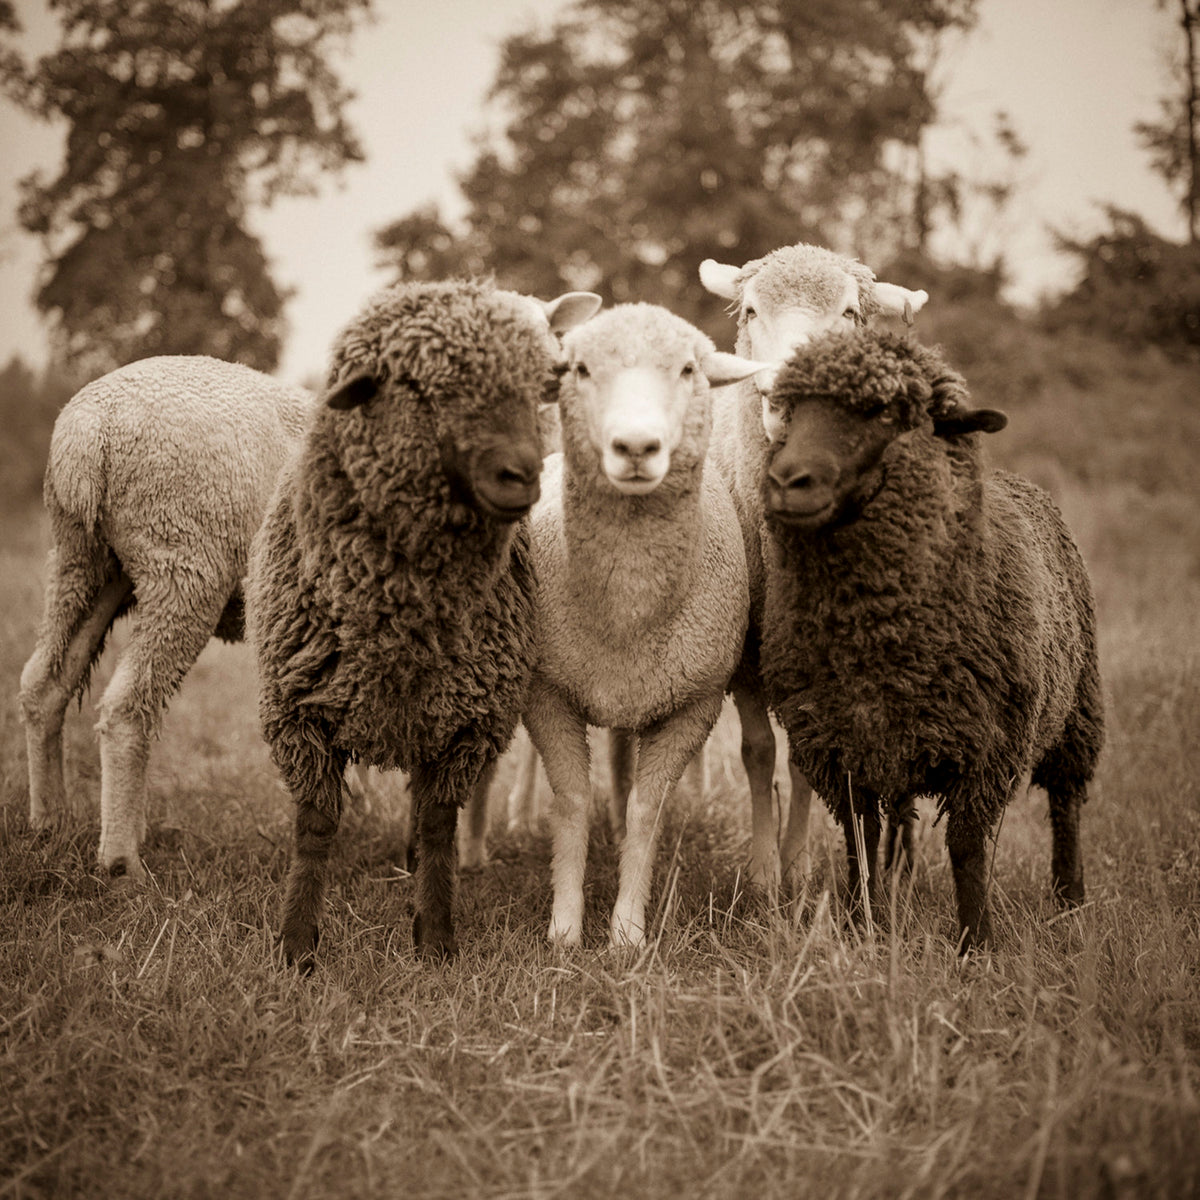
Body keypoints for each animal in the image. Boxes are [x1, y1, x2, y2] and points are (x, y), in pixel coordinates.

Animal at [18, 356, 315, 879]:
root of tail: (88, 430)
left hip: (86, 563)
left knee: (44, 685)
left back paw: (50, 824)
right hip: (184, 565)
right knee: (125, 710)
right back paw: (120, 862)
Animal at [247, 279, 570, 966]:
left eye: (537, 388)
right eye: (425, 389)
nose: (522, 475)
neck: (401, 620)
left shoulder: (464, 723)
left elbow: (440, 824)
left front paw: (435, 938)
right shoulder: (300, 713)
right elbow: (315, 827)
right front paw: (297, 945)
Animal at [521, 302, 769, 947]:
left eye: (687, 369)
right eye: (581, 369)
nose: (636, 446)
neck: (628, 611)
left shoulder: (693, 705)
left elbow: (645, 810)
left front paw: (627, 931)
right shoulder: (547, 693)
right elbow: (571, 802)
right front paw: (565, 928)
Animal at [698, 242, 930, 890]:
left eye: (850, 314)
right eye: (751, 310)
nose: (787, 396)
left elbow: (806, 762)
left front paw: (797, 870)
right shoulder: (746, 654)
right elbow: (758, 754)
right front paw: (760, 875)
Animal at [758, 329, 1104, 950]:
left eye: (886, 411)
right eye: (789, 410)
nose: (786, 482)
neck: (881, 640)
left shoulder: (988, 748)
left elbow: (966, 849)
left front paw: (976, 943)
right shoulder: (841, 746)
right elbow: (861, 842)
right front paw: (862, 925)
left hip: (1078, 711)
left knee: (1067, 804)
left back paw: (1070, 900)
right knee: (901, 819)